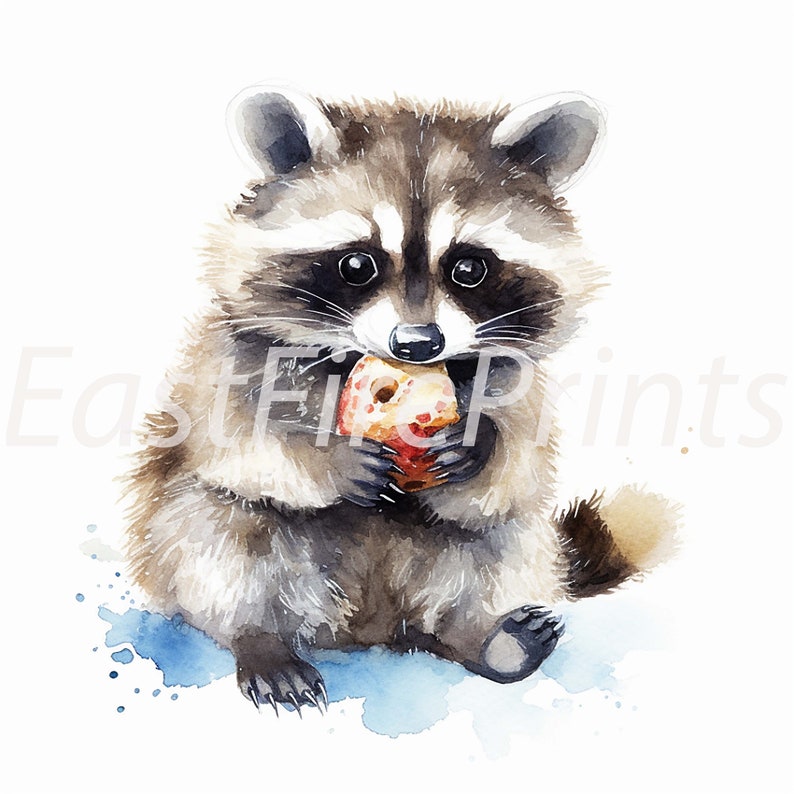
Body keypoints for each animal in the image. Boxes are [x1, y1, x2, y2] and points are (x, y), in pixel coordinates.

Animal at [125, 85, 676, 712]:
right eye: (356, 263)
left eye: (469, 267)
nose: (417, 344)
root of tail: (371, 627)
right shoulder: (227, 357)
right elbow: (238, 435)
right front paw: (329, 455)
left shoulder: (517, 380)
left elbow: (520, 464)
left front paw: (479, 445)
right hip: (187, 540)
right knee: (218, 531)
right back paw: (259, 639)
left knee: (498, 538)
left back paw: (479, 640)